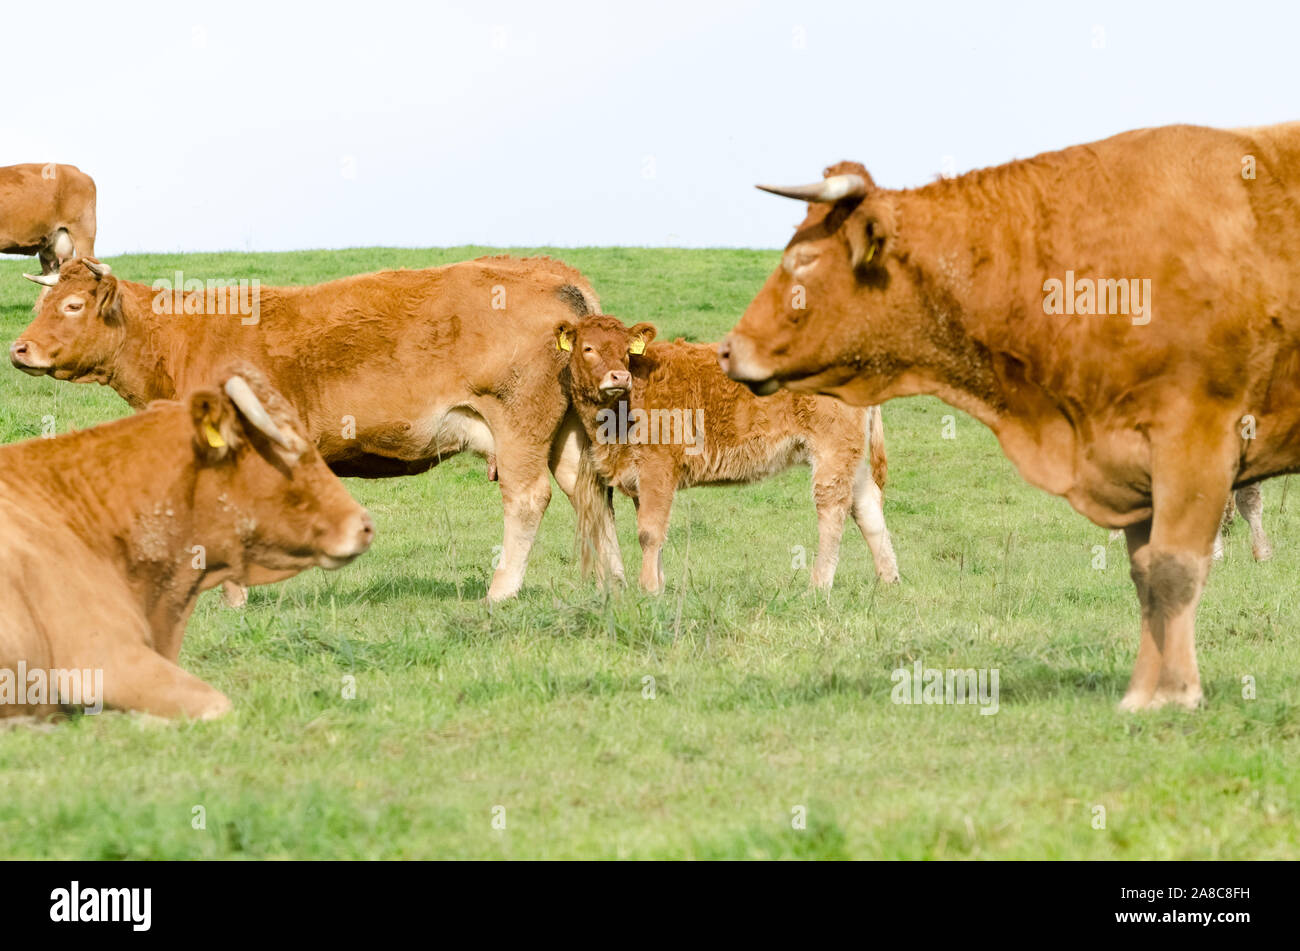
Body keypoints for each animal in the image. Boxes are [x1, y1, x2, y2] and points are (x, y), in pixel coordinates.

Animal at [11, 256, 622, 604]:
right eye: (42, 300)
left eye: (72, 304)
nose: (19, 348)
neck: (181, 335)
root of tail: (552, 273)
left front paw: (232, 601)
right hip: (570, 430)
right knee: (590, 493)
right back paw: (615, 584)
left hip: (518, 422)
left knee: (528, 498)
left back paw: (501, 592)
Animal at [556, 314, 898, 592]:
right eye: (588, 348)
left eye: (627, 351)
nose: (620, 377)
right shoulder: (642, 475)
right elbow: (656, 531)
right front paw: (660, 586)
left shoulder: (658, 467)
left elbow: (649, 533)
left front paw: (649, 589)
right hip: (850, 452)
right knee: (866, 504)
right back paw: (888, 580)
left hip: (832, 448)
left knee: (833, 508)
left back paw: (818, 586)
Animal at [718, 121, 1300, 711]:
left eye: (805, 260)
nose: (728, 349)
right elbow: (1148, 574)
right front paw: (1145, 692)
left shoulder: (1196, 437)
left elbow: (1179, 567)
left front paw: (1173, 695)